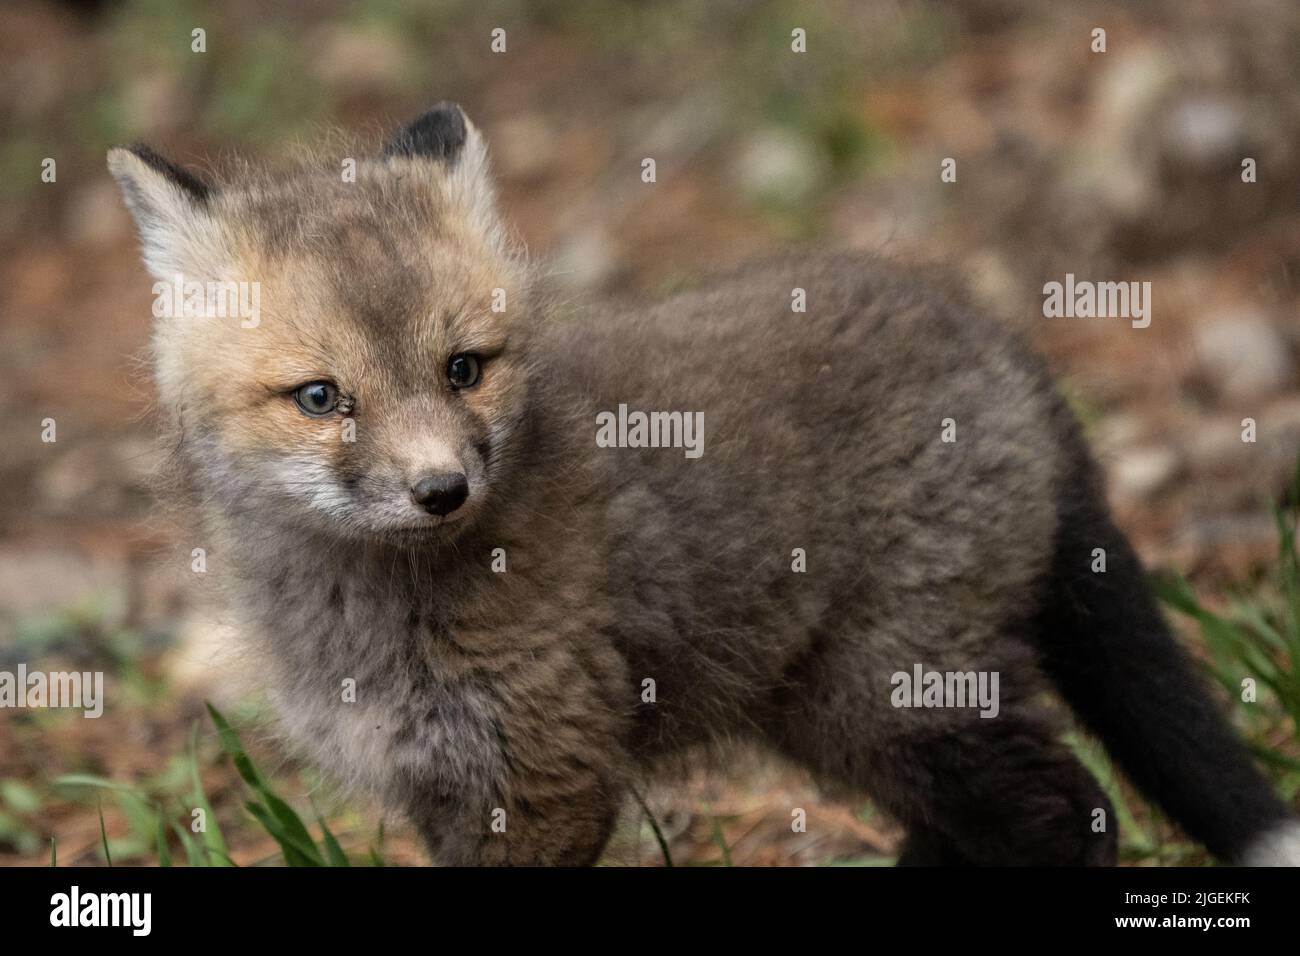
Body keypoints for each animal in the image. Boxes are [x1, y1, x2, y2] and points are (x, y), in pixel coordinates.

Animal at [108, 103, 1300, 866]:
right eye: (321, 397)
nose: (443, 489)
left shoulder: (545, 775)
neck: (369, 621)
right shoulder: (440, 788)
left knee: (1074, 811)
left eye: (463, 370)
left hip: (889, 694)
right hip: (837, 716)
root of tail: (1003, 342)